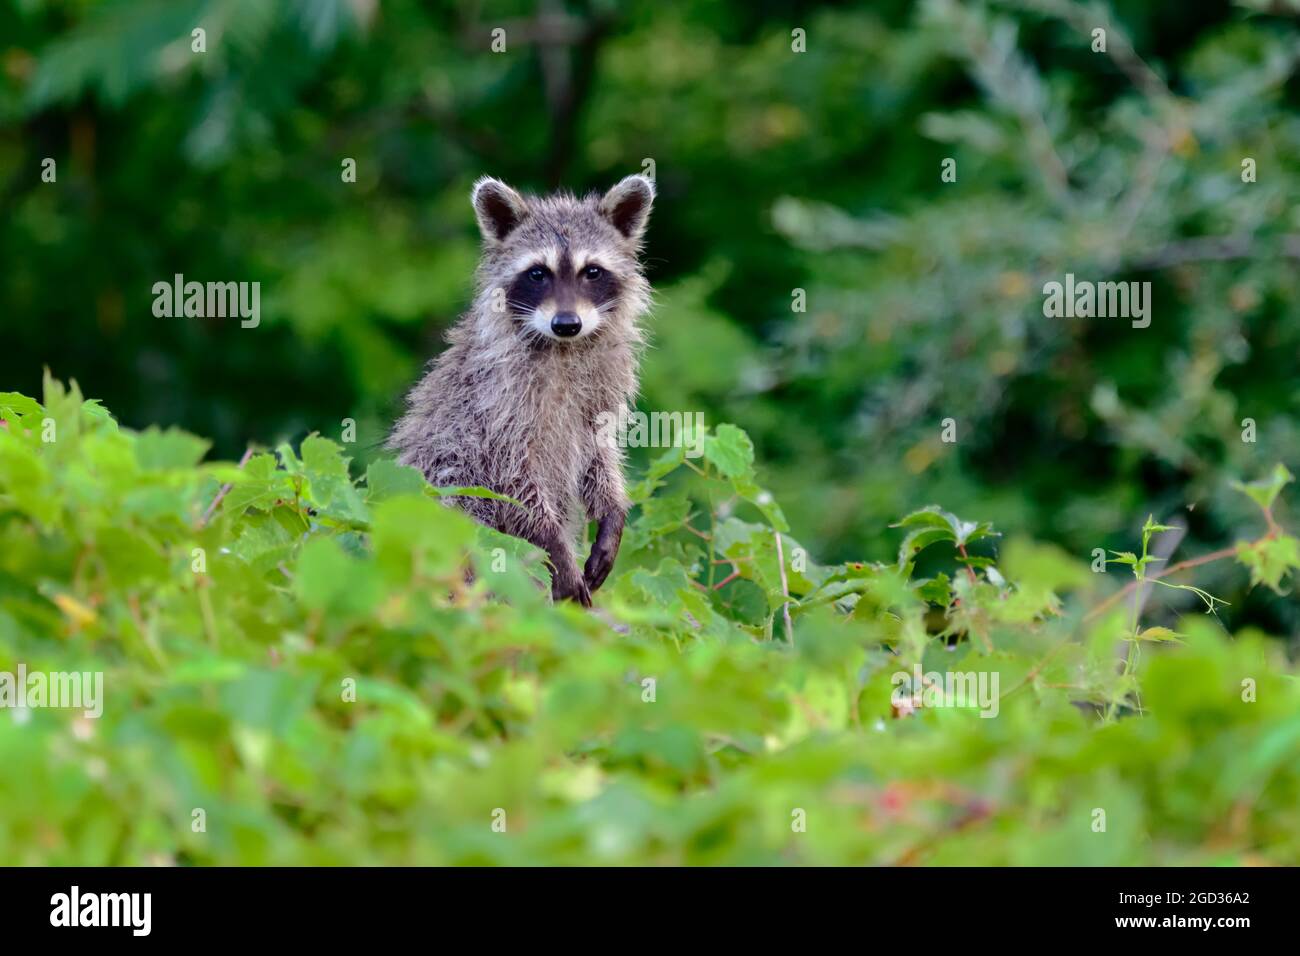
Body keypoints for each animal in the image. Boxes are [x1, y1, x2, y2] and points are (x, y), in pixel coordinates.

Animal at [388, 174, 656, 606]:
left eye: (592, 271)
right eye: (537, 273)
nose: (567, 323)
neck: (563, 348)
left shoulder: (604, 380)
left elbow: (600, 453)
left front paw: (613, 511)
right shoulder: (497, 400)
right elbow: (512, 475)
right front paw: (555, 546)